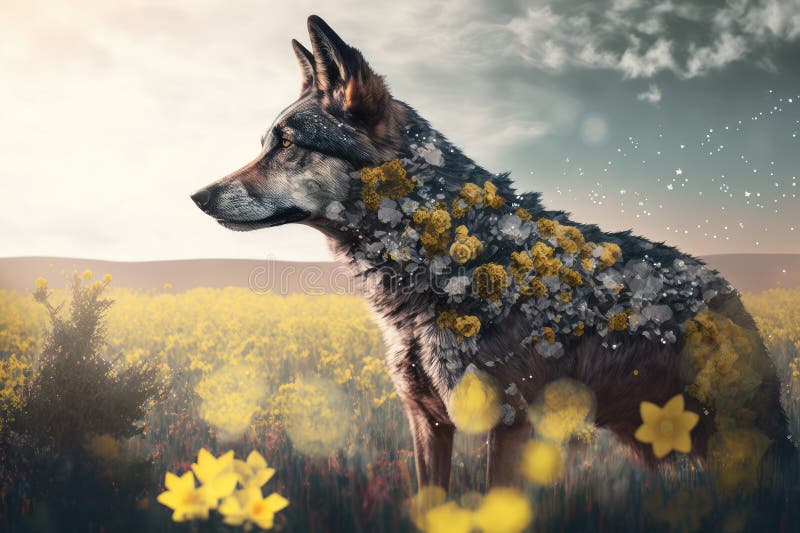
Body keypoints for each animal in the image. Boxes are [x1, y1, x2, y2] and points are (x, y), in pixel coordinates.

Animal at [191, 15, 795, 490]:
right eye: (265, 144)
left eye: (287, 144)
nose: (198, 196)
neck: (448, 262)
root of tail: (724, 289)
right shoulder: (427, 422)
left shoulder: (506, 426)